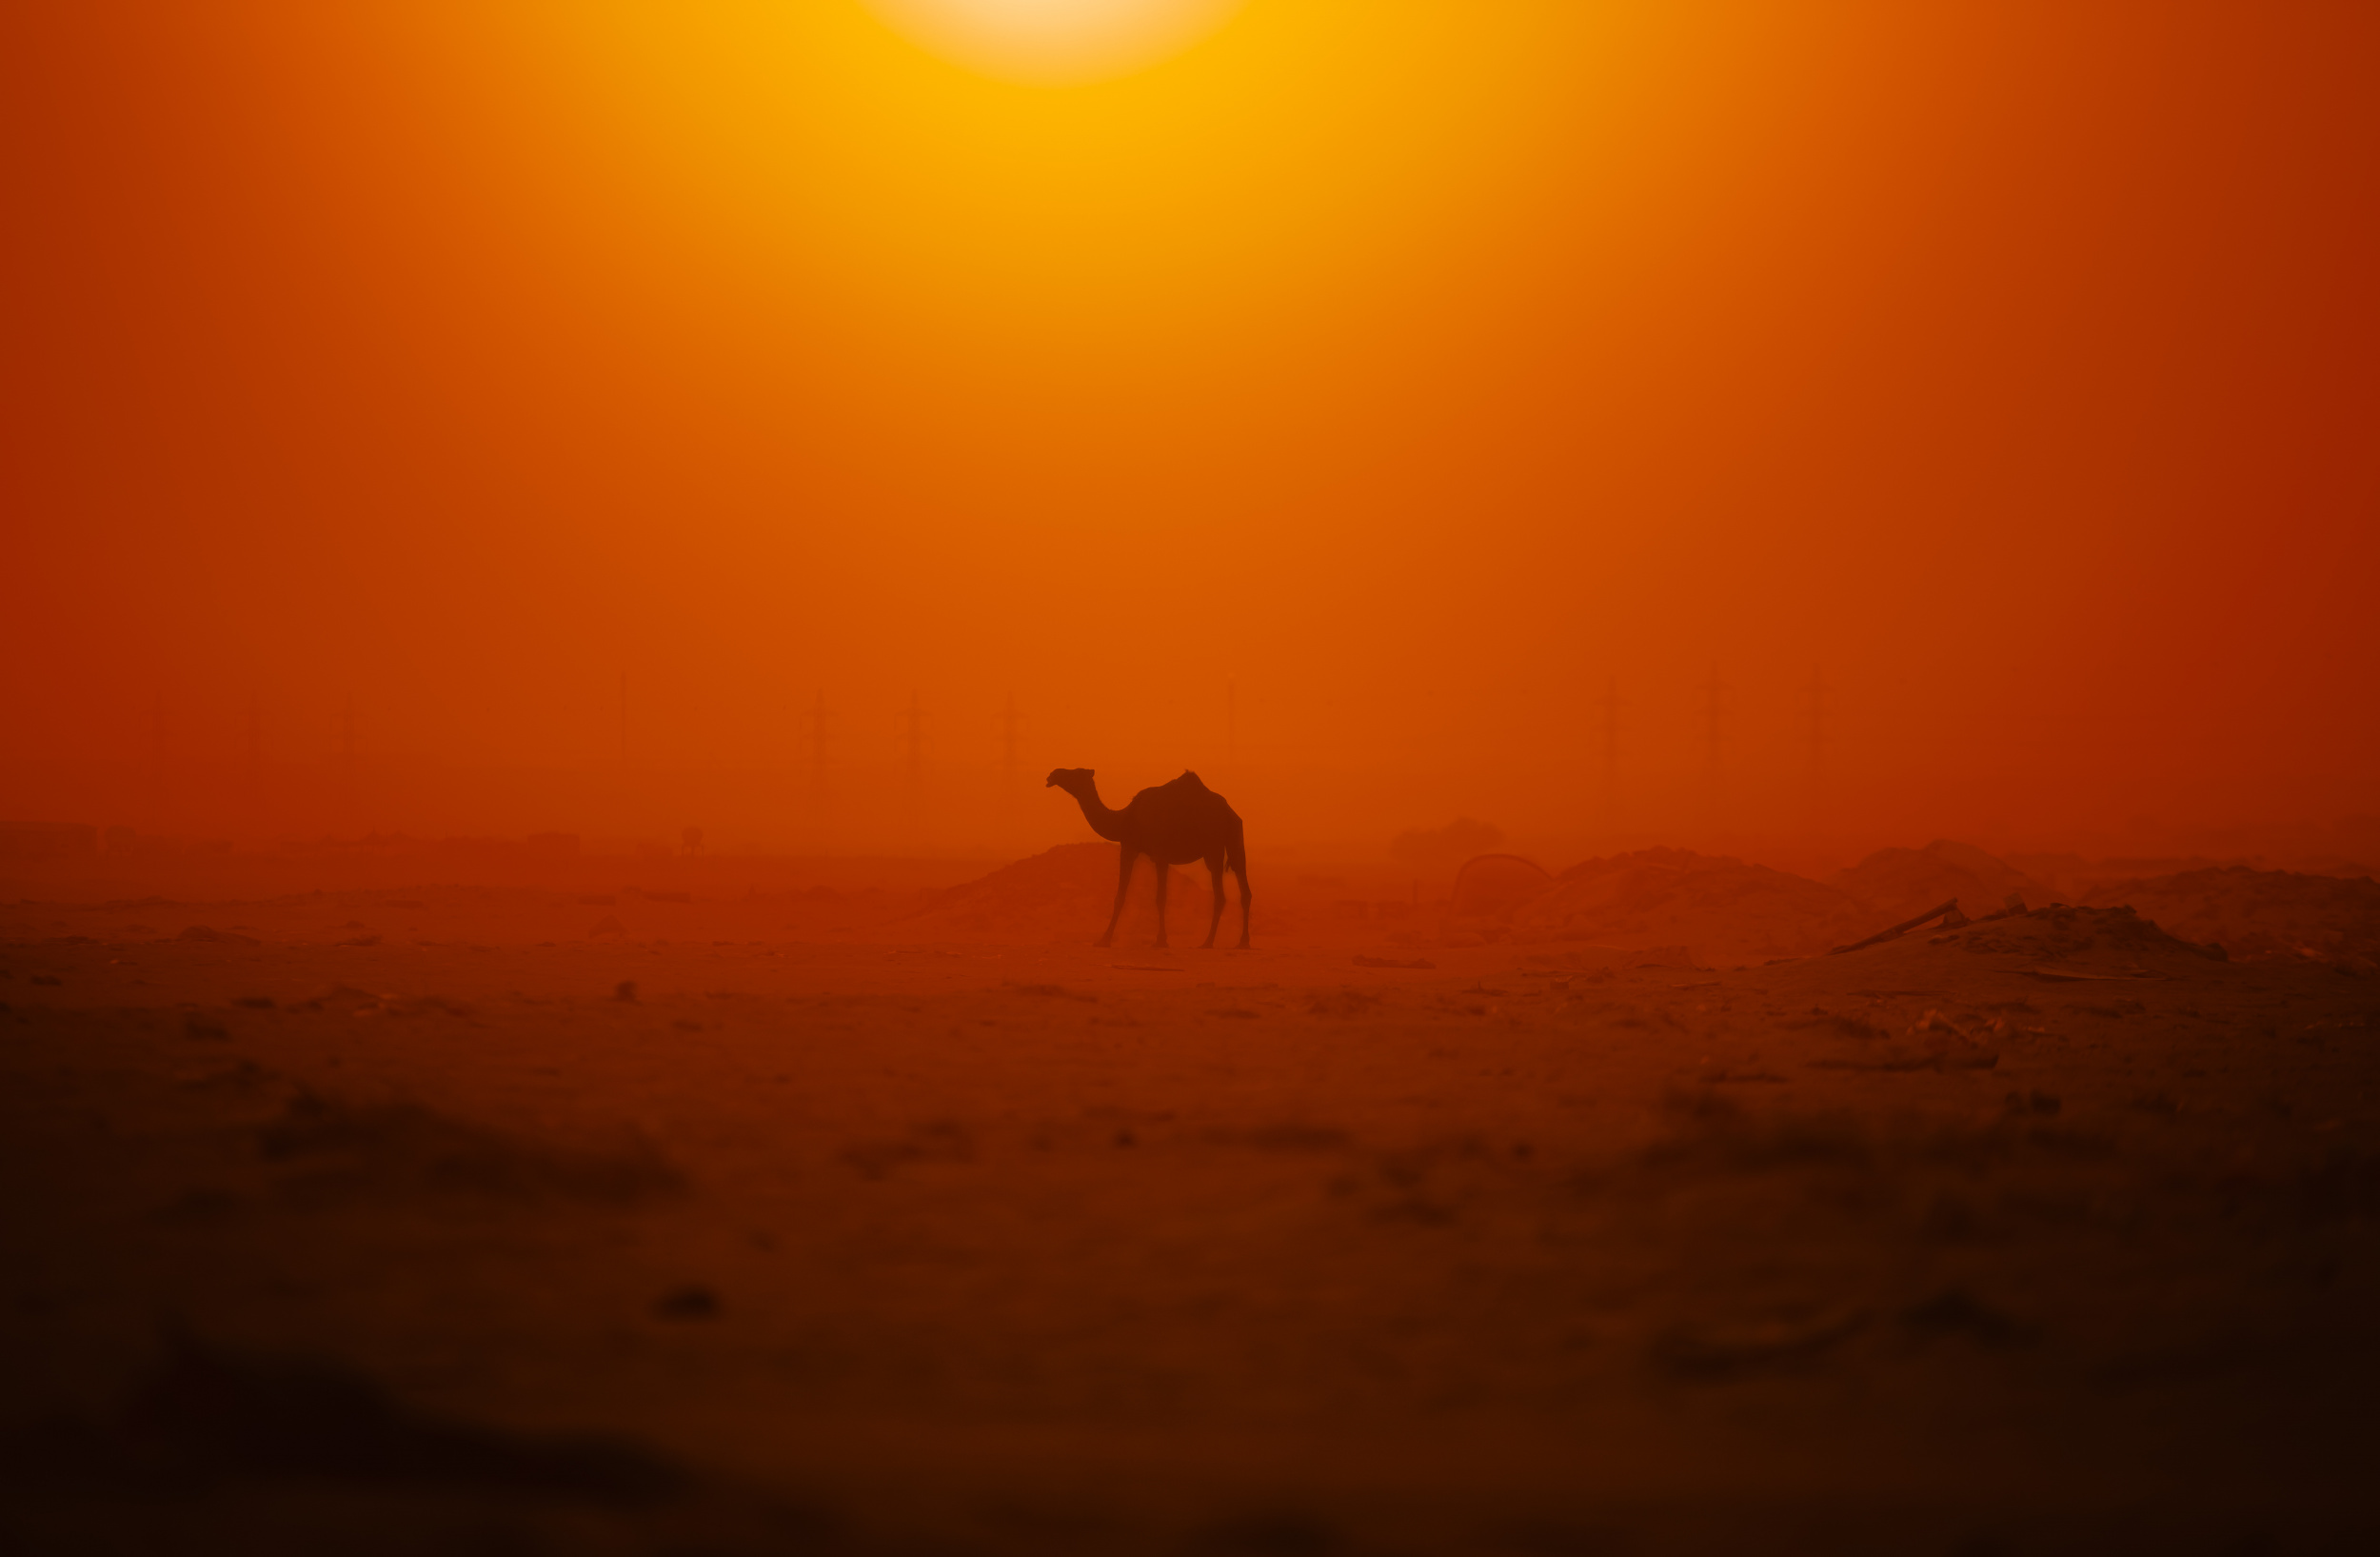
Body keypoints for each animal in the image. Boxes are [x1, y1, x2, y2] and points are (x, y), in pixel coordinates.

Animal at [1046, 768, 1251, 949]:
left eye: (1076, 772)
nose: (1053, 774)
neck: (1124, 819)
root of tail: (1228, 812)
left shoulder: (1150, 852)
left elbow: (1154, 898)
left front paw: (1157, 941)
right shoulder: (1137, 849)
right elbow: (1127, 896)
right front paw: (1105, 940)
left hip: (1213, 846)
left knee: (1220, 895)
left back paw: (1207, 942)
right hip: (1235, 837)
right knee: (1244, 886)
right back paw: (1242, 943)